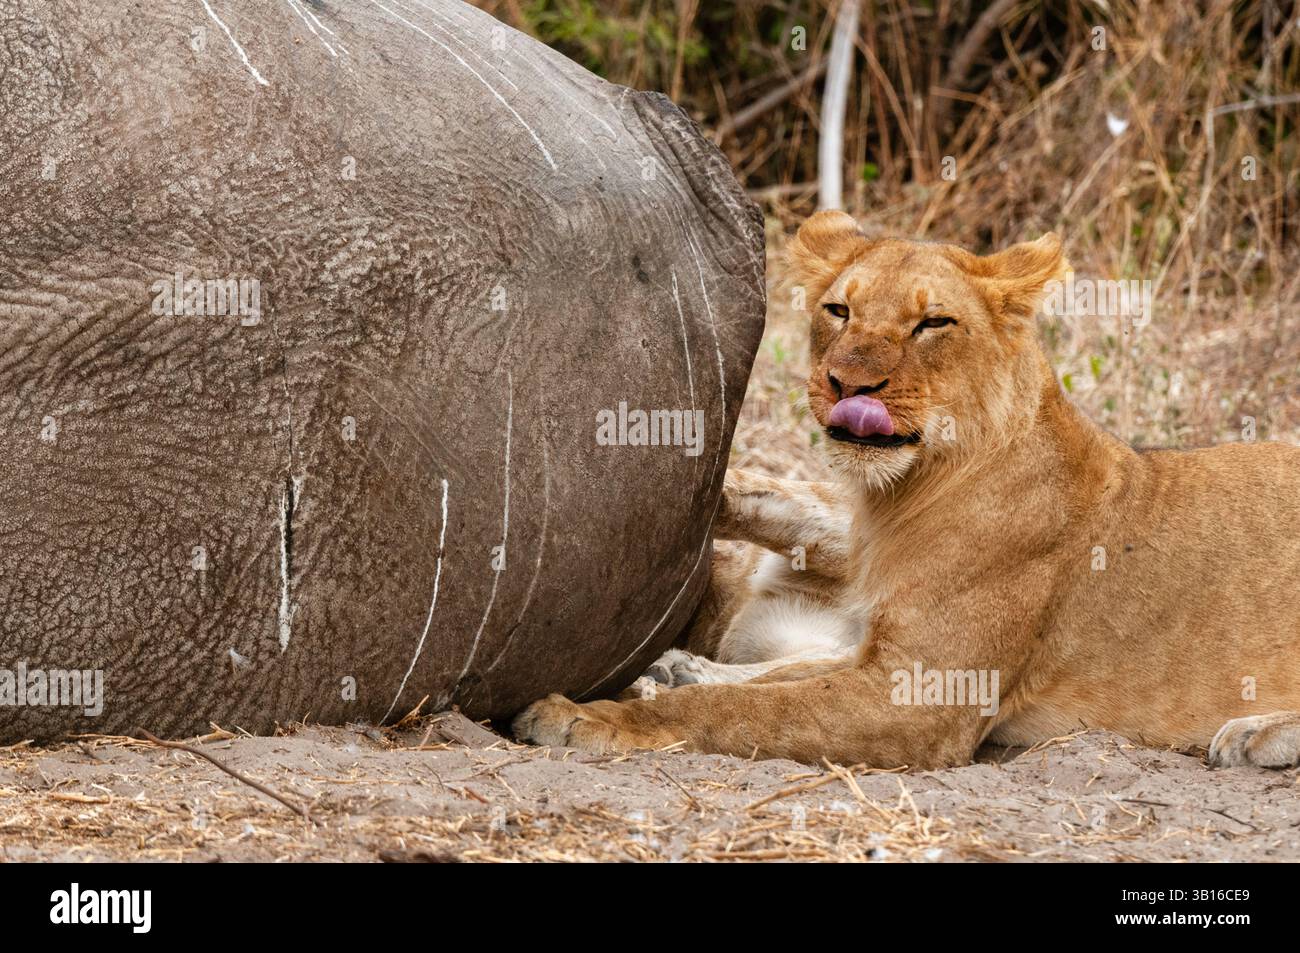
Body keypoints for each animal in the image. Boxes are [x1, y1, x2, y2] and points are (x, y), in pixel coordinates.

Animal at [514, 211, 1300, 770]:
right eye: (839, 310)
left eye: (933, 322)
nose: (849, 383)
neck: (906, 495)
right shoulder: (875, 642)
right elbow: (775, 677)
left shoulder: (918, 696)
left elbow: (745, 713)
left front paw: (587, 716)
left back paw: (1255, 733)